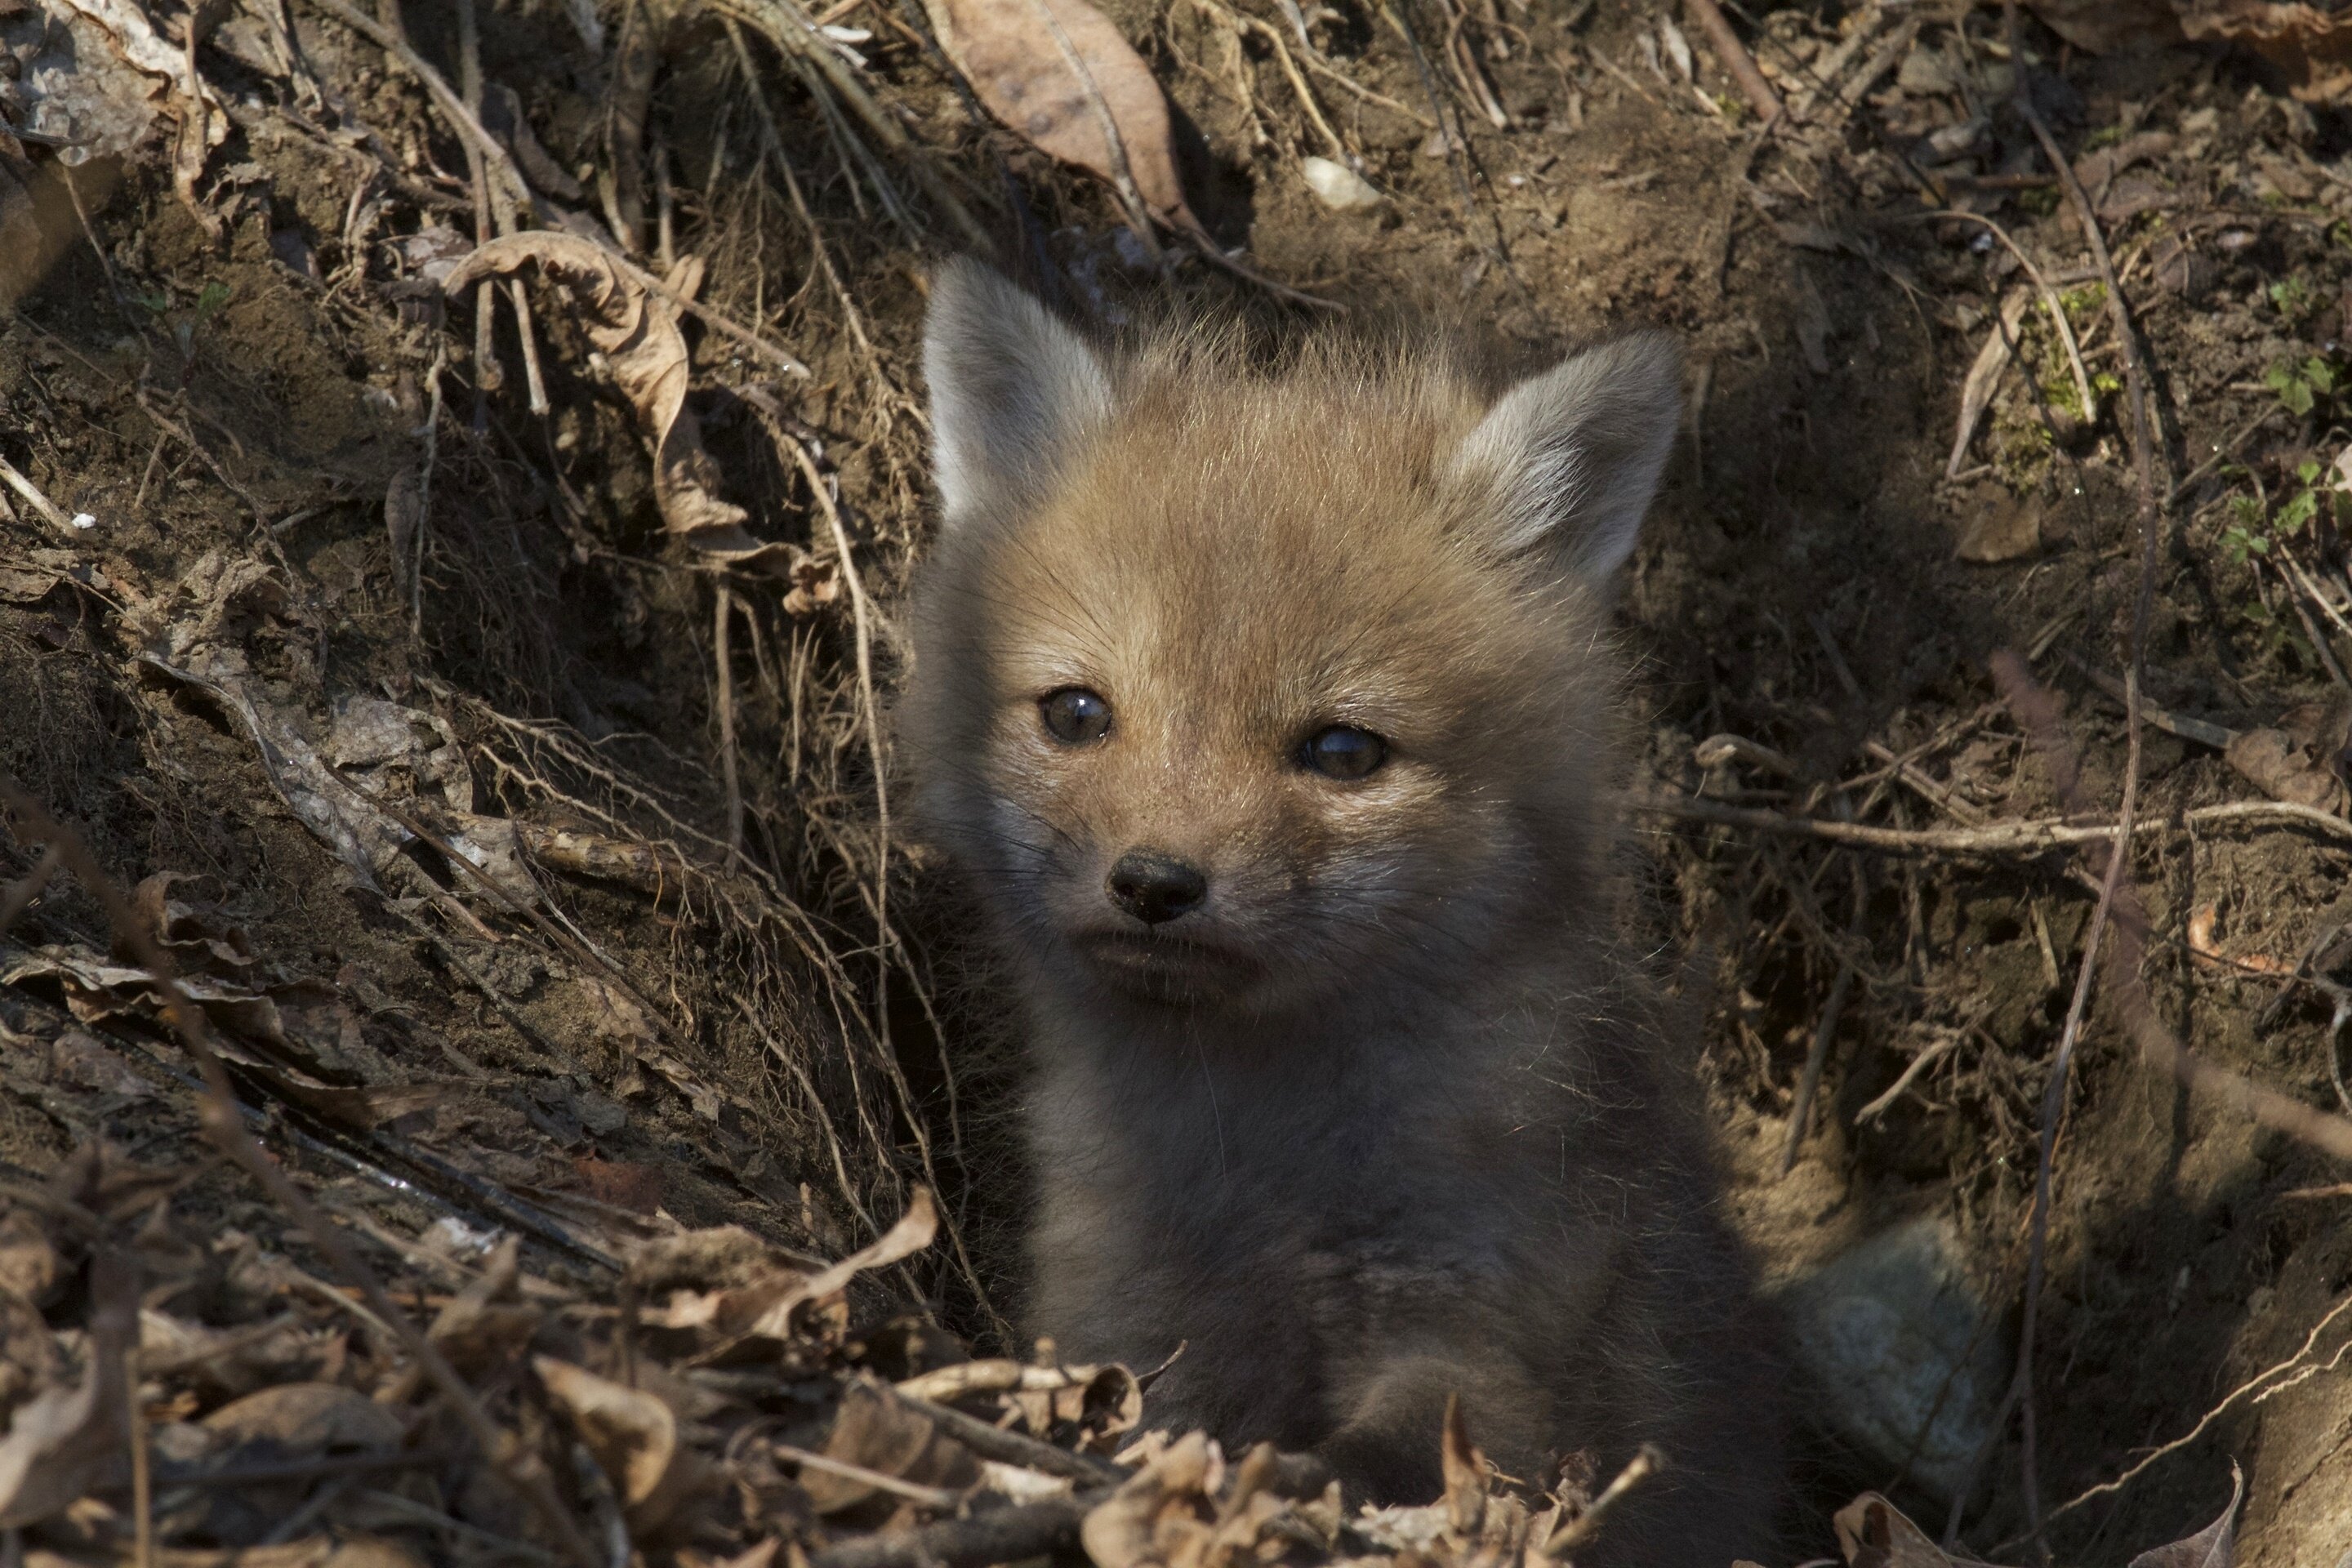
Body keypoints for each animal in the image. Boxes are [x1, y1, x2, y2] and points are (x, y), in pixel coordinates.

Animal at [900, 259, 1783, 1565]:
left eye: (1343, 751)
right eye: (1076, 713)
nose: (1154, 884)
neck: (1257, 1161)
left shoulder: (1487, 1332)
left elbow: (1389, 1467)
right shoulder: (1128, 1319)